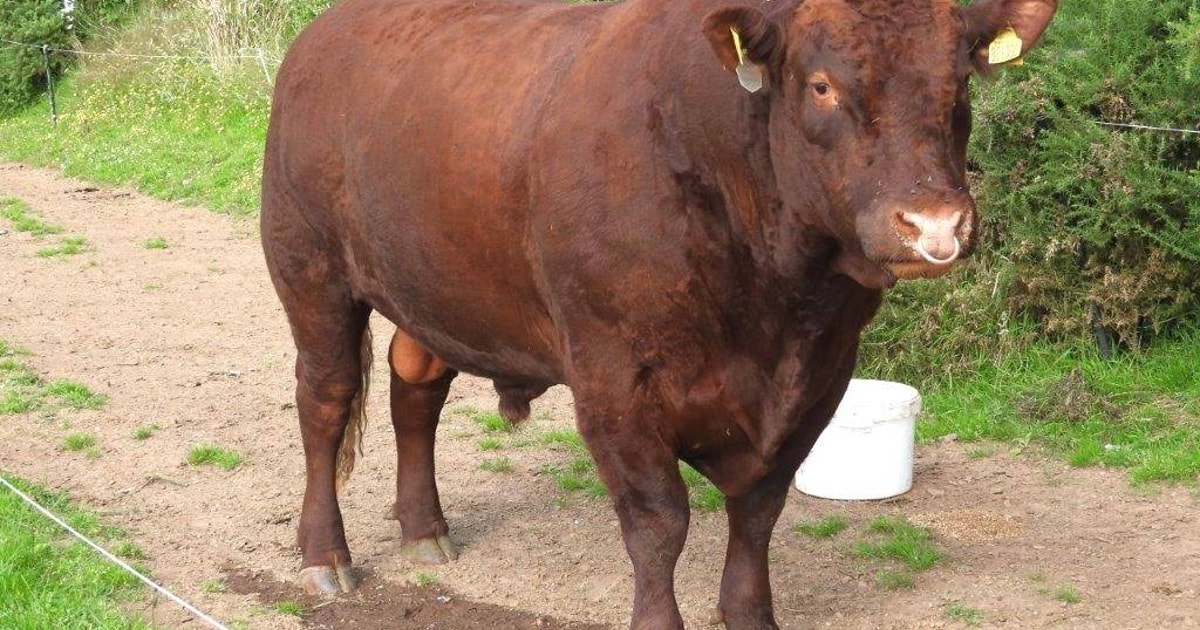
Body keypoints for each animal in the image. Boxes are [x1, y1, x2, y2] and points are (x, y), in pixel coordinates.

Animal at [261, 0, 1056, 626]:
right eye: (822, 84)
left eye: (959, 82)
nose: (934, 224)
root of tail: (320, 34)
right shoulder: (615, 378)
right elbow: (658, 521)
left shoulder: (823, 370)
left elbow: (759, 511)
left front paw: (749, 615)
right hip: (311, 270)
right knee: (325, 402)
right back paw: (325, 554)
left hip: (437, 287)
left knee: (416, 384)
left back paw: (424, 528)